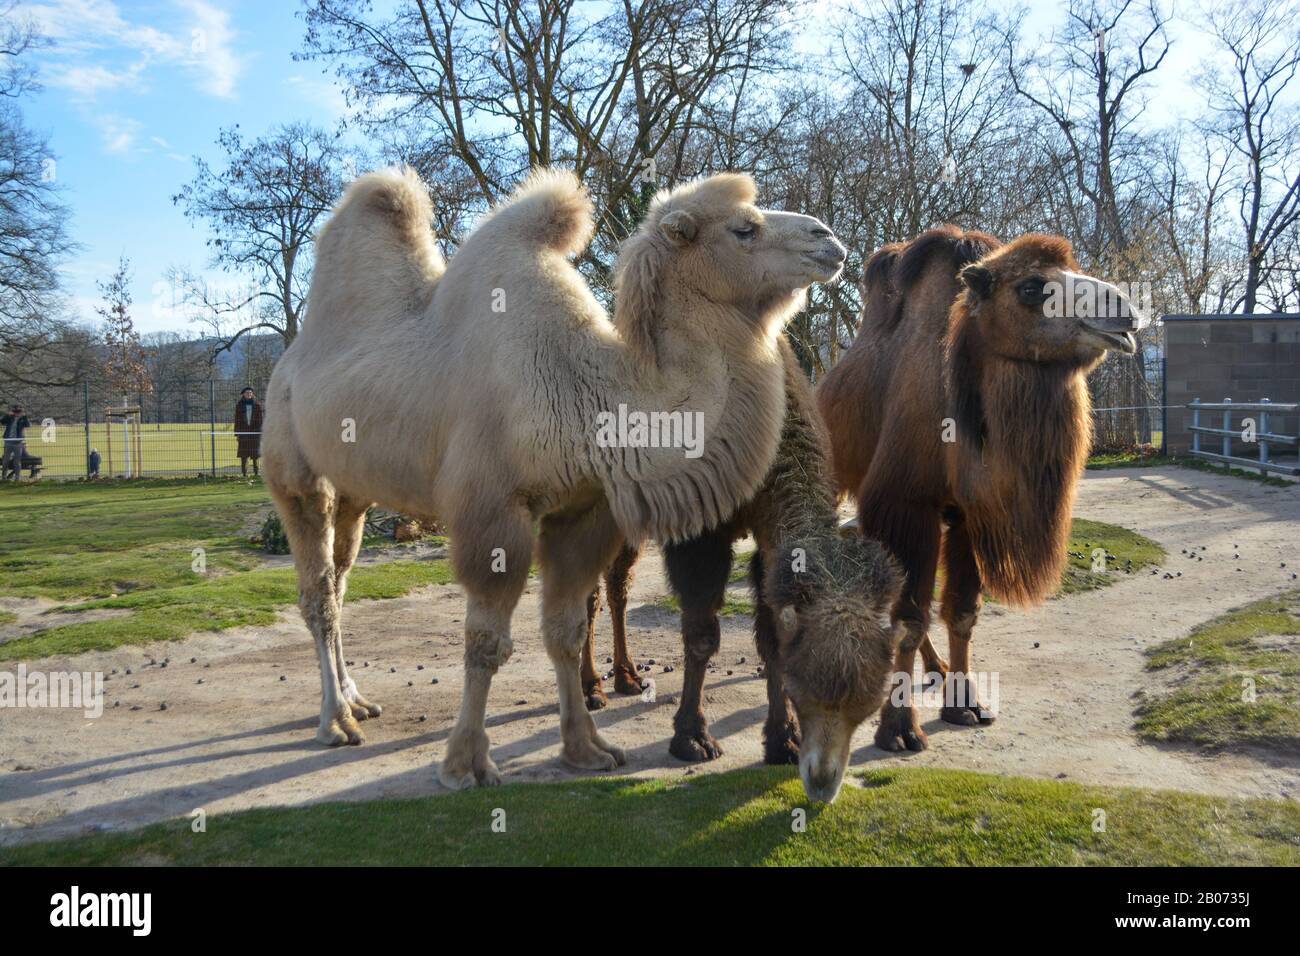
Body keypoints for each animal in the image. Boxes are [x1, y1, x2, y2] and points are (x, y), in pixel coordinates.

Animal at [262, 166, 848, 789]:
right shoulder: (493, 511)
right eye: (744, 228)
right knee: (318, 592)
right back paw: (336, 721)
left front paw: (587, 748)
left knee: (341, 576)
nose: (828, 238)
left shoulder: (583, 509)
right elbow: (486, 642)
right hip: (295, 473)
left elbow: (565, 631)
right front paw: (466, 764)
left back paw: (356, 698)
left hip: (354, 493)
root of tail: (288, 364)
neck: (587, 393)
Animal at [581, 341, 901, 802]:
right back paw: (591, 688)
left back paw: (626, 676)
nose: (823, 783)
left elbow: (770, 636)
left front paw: (782, 740)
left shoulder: (770, 542)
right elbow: (702, 636)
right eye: (802, 689)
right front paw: (692, 739)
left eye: (868, 704)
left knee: (618, 585)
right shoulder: (700, 531)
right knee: (587, 593)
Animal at [816, 226, 1148, 752]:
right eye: (1031, 286)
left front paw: (965, 705)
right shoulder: (907, 505)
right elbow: (908, 618)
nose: (1124, 307)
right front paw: (899, 730)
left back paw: (934, 668)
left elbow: (962, 612)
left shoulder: (971, 513)